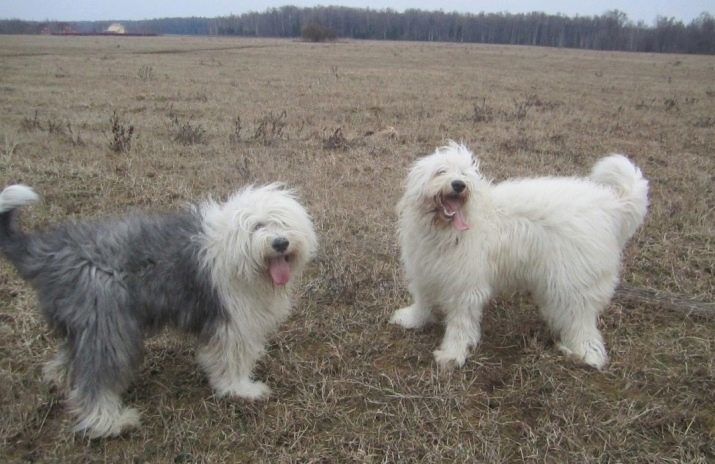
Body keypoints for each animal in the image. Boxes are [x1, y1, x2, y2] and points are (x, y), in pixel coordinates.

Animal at [0, 183, 318, 436]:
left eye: (283, 224)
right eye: (258, 227)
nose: (280, 243)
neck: (236, 253)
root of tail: (50, 252)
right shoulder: (232, 321)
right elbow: (231, 359)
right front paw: (241, 389)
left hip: (85, 321)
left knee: (70, 356)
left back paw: (62, 380)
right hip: (108, 325)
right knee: (96, 377)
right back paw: (109, 421)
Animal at [392, 141, 648, 370]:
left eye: (464, 173)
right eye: (441, 171)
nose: (458, 185)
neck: (444, 231)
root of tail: (609, 205)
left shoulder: (465, 287)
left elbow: (460, 324)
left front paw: (452, 354)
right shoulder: (425, 270)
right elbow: (423, 300)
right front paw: (412, 319)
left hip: (574, 282)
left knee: (583, 324)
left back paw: (584, 354)